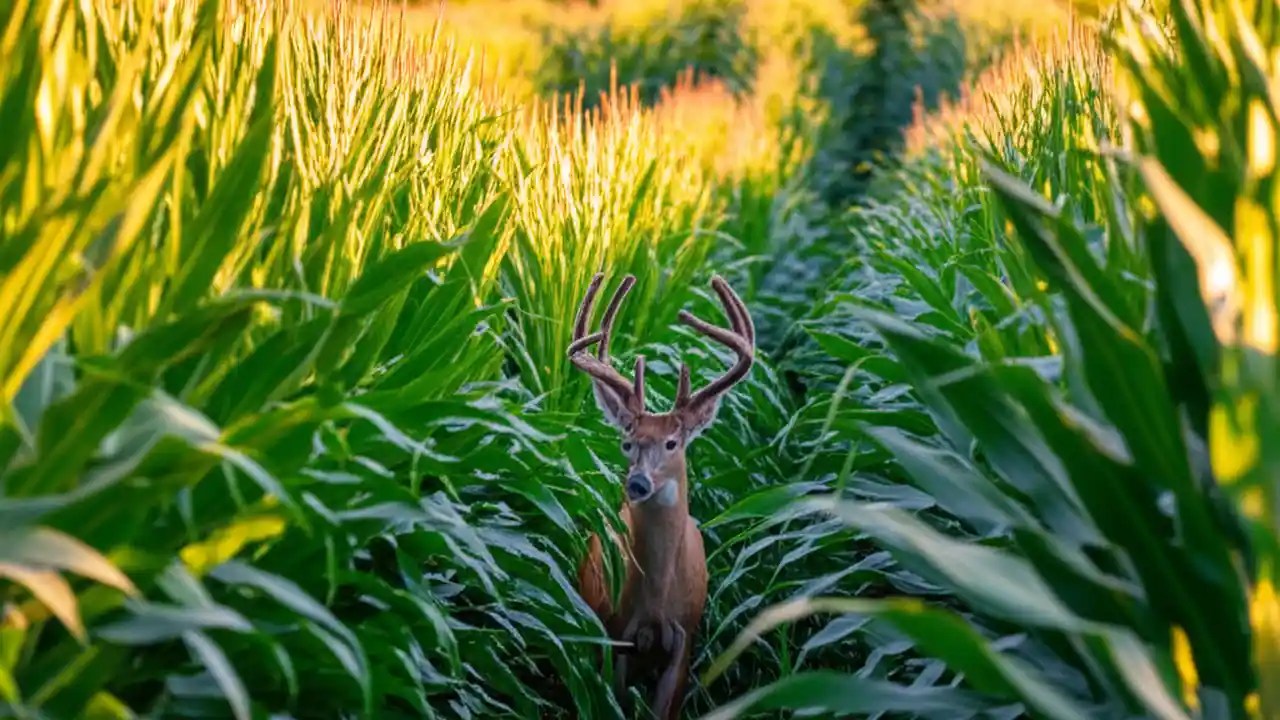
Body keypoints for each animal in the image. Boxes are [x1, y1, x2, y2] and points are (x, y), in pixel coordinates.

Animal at [567, 272, 754, 720]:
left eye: (672, 443)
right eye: (627, 442)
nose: (637, 484)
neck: (655, 600)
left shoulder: (685, 641)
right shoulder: (617, 635)